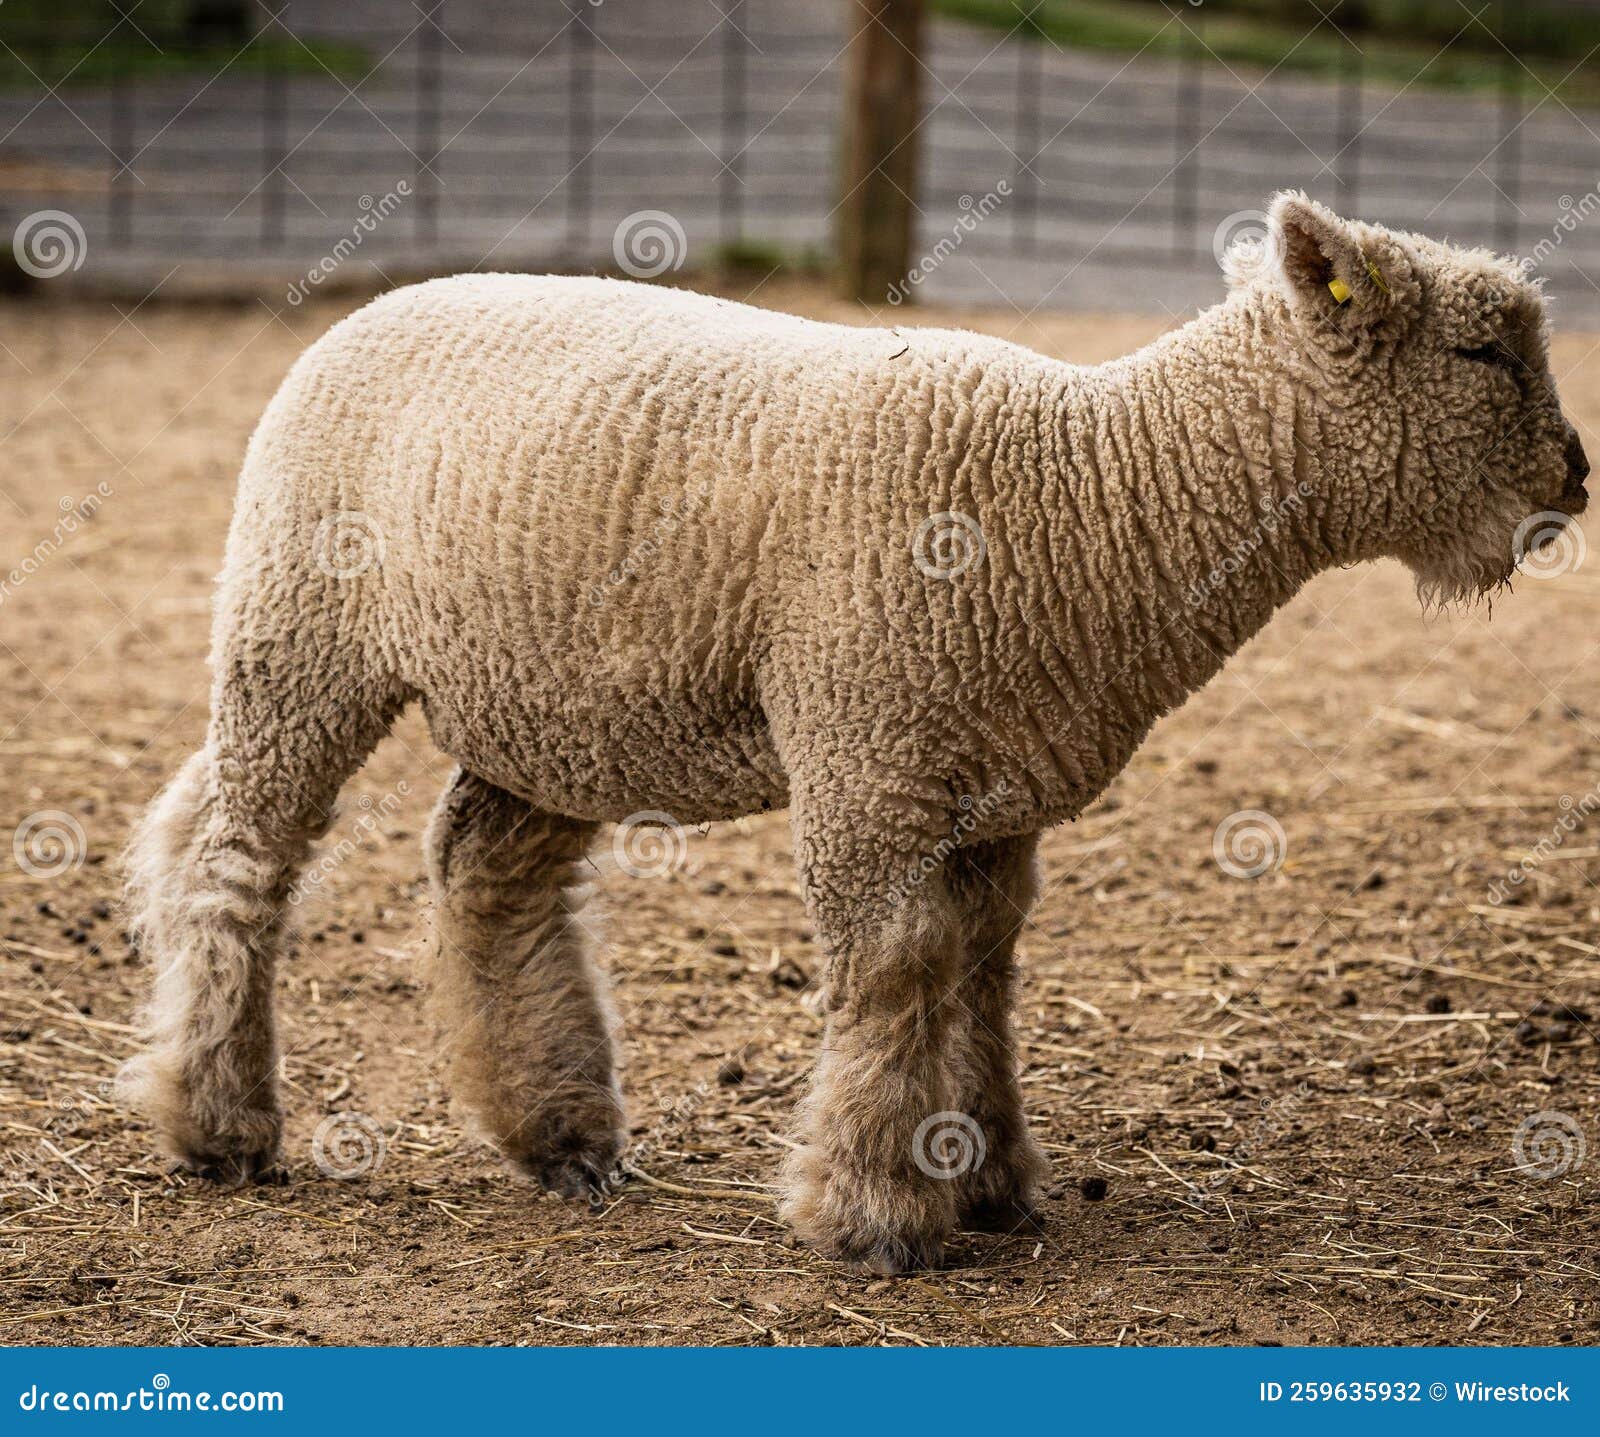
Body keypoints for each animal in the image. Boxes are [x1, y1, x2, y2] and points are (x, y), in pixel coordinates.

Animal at [121, 192, 1589, 1274]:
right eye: (1479, 352)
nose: (1576, 477)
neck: (1103, 493)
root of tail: (376, 305)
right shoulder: (866, 754)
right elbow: (894, 972)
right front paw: (875, 1215)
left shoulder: (989, 791)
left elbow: (980, 972)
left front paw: (987, 1178)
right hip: (299, 627)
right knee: (237, 851)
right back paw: (220, 1122)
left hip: (551, 697)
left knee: (487, 871)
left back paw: (562, 1138)